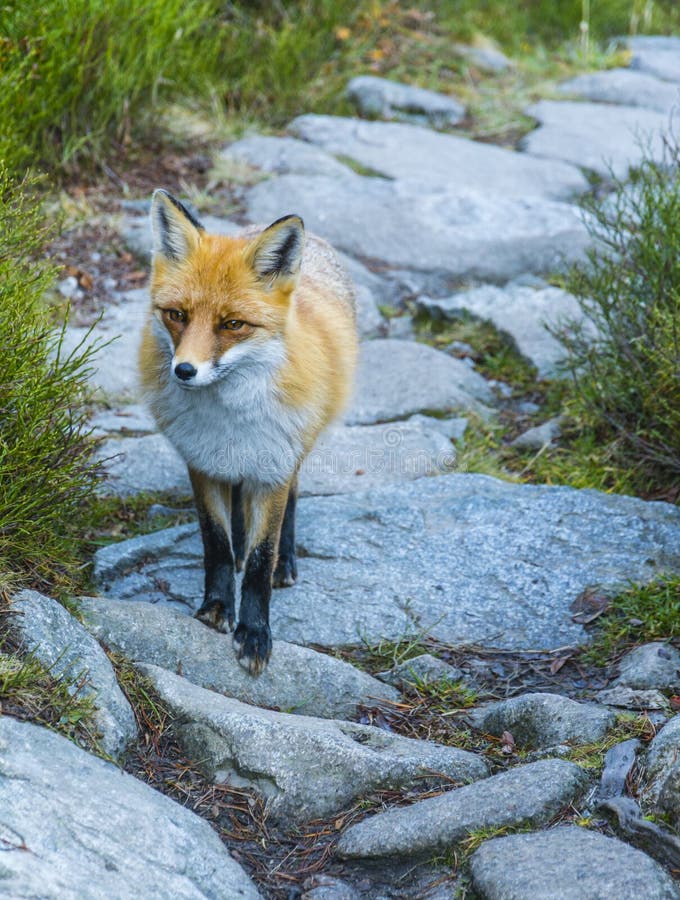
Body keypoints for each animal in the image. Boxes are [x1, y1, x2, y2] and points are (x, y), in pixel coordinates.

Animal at [139, 190, 358, 675]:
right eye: (177, 315)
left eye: (232, 324)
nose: (184, 370)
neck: (228, 421)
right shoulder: (201, 464)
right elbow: (216, 544)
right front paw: (217, 608)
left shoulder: (272, 467)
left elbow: (260, 561)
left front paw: (255, 633)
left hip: (294, 449)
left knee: (290, 502)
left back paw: (286, 561)